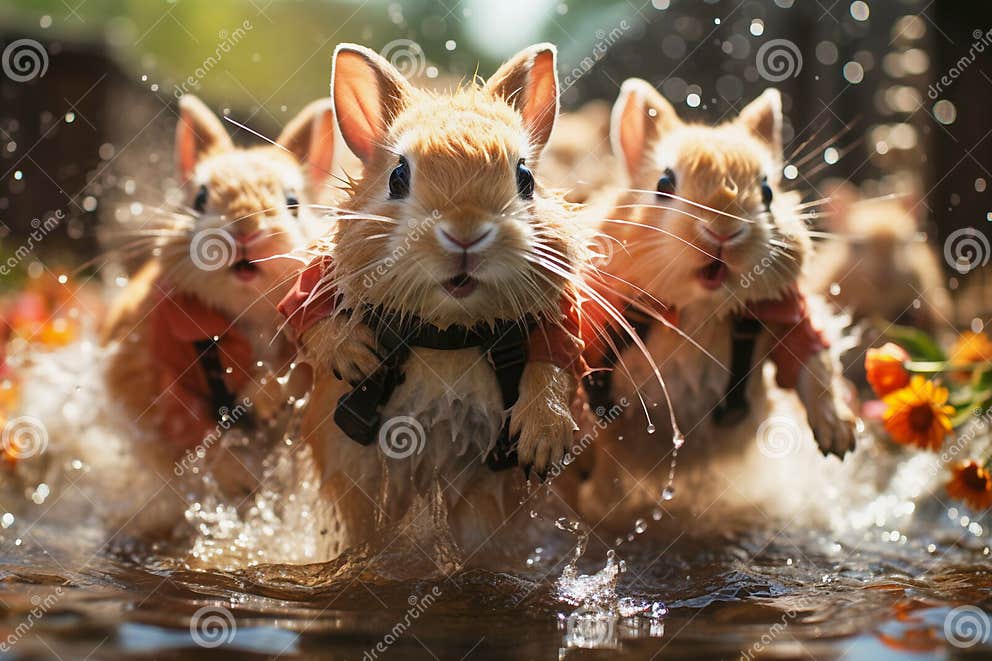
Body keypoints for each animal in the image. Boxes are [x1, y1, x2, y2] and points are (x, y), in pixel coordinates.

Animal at [279, 43, 593, 561]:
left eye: (525, 177)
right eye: (398, 176)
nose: (465, 232)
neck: (448, 330)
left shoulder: (558, 320)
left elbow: (557, 360)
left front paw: (543, 439)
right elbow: (304, 312)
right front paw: (356, 355)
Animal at [576, 80, 858, 526]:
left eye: (767, 192)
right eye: (664, 184)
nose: (723, 230)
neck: (699, 311)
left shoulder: (787, 315)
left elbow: (812, 362)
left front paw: (838, 436)